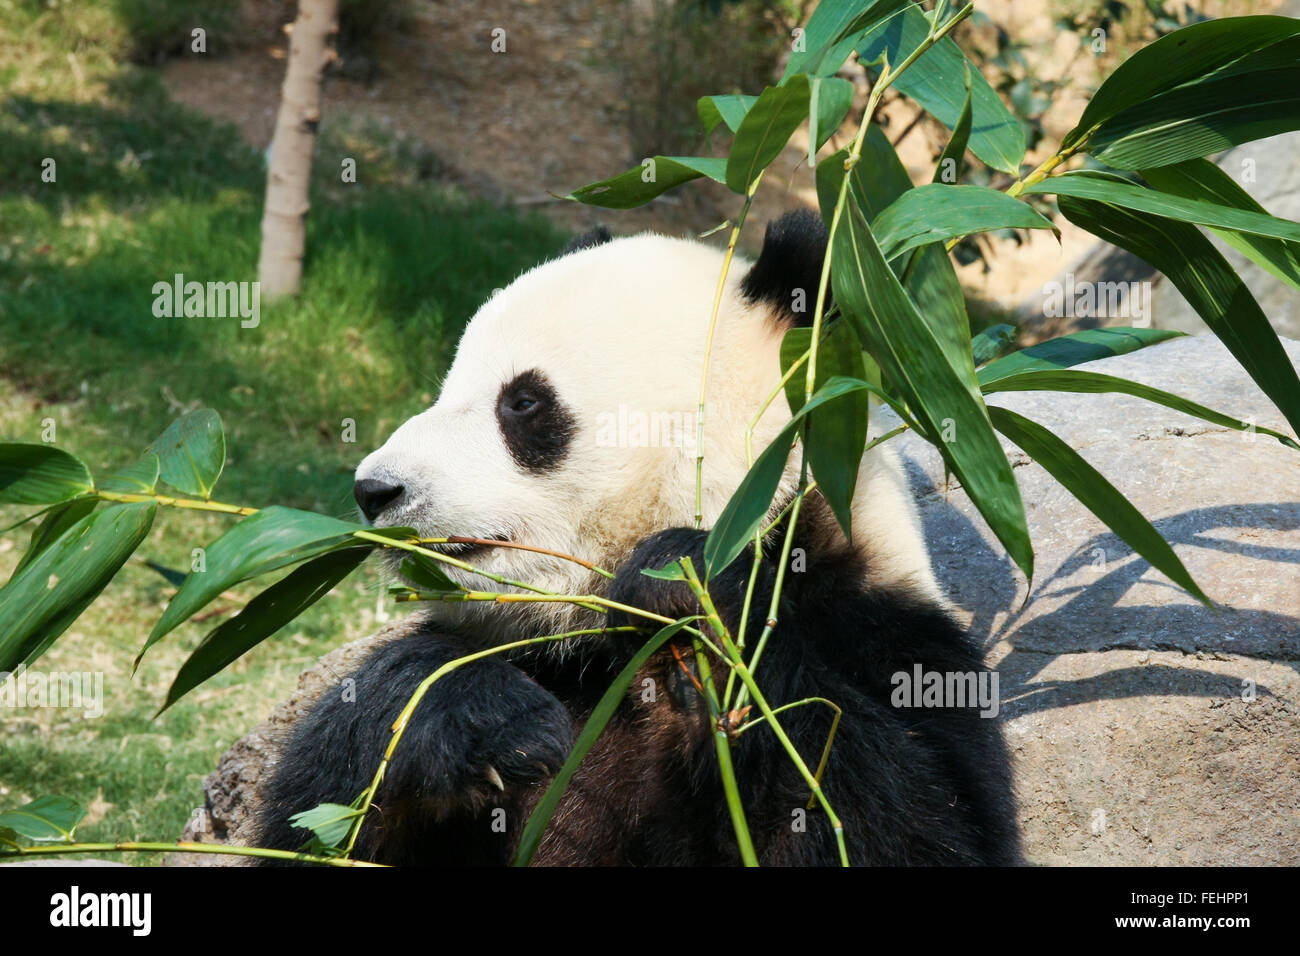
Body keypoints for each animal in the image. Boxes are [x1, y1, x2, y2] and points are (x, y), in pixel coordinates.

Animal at [251, 210, 1021, 866]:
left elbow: (905, 817)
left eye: (523, 402)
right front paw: (485, 721)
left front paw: (683, 594)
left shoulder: (884, 631)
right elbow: (324, 808)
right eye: (444, 389)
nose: (376, 490)